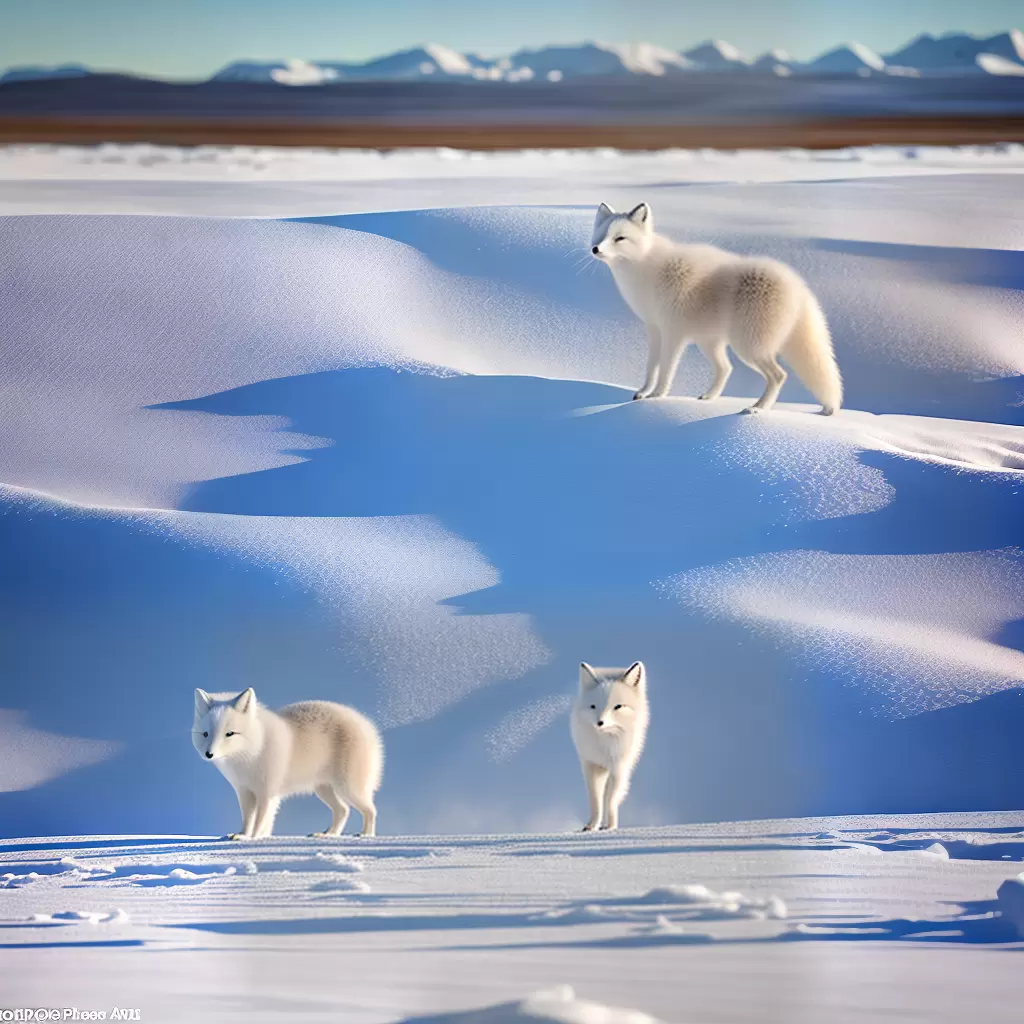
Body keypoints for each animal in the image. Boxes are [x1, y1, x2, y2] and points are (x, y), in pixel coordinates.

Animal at [192, 688, 383, 840]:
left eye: (230, 733)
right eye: (206, 734)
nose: (209, 754)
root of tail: (367, 726)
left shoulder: (267, 793)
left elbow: (261, 820)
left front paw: (252, 839)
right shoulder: (245, 791)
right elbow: (248, 819)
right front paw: (243, 835)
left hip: (349, 788)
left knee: (371, 810)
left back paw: (366, 835)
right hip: (323, 789)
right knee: (343, 810)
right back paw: (328, 834)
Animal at [570, 662, 650, 831]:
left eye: (617, 706)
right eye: (593, 706)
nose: (600, 722)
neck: (605, 745)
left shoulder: (618, 767)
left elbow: (611, 800)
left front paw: (611, 827)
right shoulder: (591, 765)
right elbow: (595, 800)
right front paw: (591, 826)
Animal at [591, 202, 842, 415]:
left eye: (620, 238)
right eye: (601, 236)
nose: (595, 249)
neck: (644, 267)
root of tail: (799, 288)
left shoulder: (673, 332)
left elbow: (666, 369)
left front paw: (657, 396)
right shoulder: (654, 328)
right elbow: (651, 366)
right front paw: (643, 393)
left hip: (749, 347)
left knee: (778, 375)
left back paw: (757, 408)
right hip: (712, 342)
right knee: (726, 368)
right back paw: (709, 397)